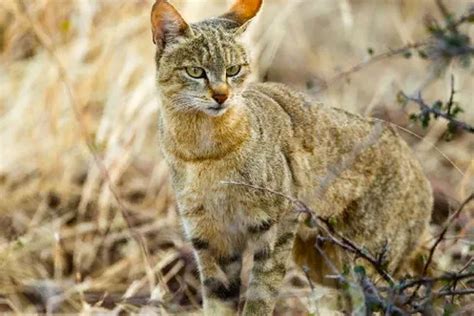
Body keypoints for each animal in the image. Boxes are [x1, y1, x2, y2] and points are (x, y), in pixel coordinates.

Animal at [149, 0, 434, 314]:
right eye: (196, 71)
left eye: (233, 70)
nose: (222, 96)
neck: (201, 150)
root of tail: (419, 170)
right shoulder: (210, 237)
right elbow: (218, 302)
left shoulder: (276, 227)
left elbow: (261, 297)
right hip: (323, 263)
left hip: (363, 264)